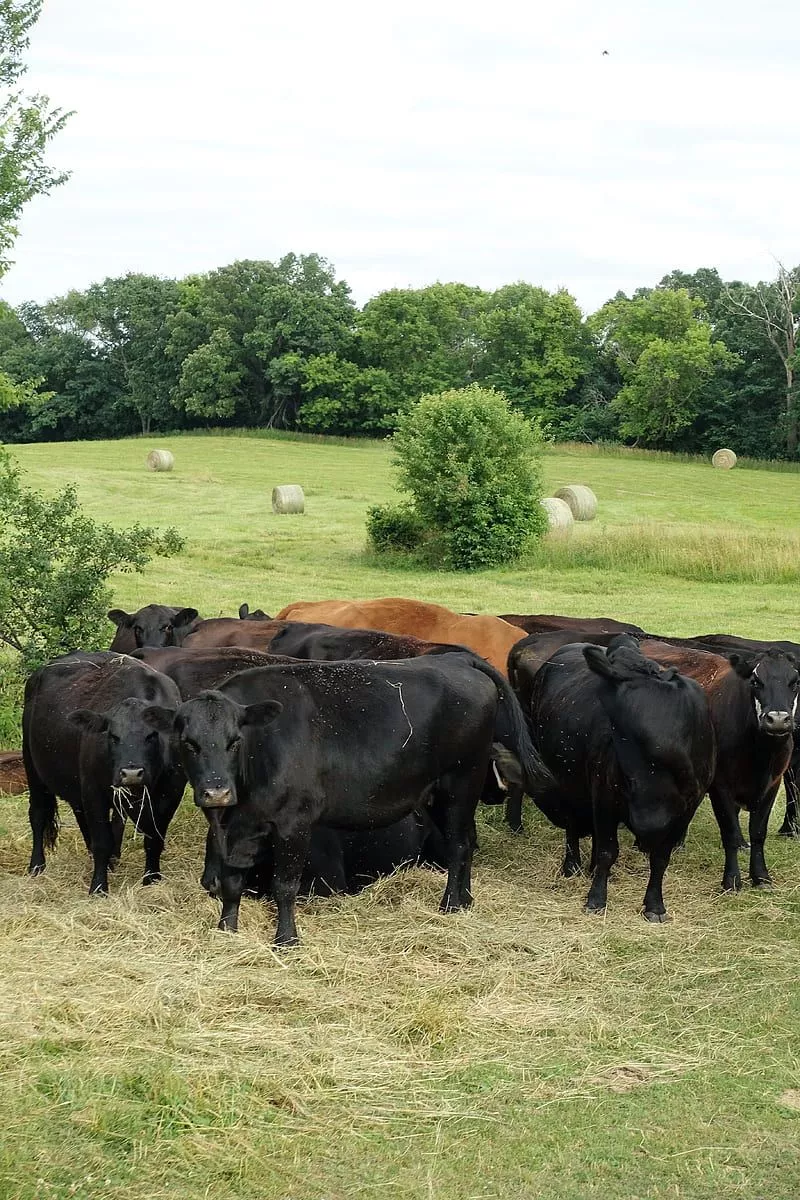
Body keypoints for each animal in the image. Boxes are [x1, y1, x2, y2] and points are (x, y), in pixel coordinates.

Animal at [23, 652, 185, 895]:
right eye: (113, 736)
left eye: (151, 735)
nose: (131, 773)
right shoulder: (94, 791)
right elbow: (102, 840)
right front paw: (98, 886)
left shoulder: (170, 794)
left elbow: (154, 839)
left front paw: (152, 878)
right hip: (33, 770)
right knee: (38, 814)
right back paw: (37, 865)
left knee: (86, 817)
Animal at [159, 653, 553, 945]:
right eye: (188, 743)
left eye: (235, 741)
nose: (217, 791)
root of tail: (457, 659)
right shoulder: (238, 829)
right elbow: (231, 882)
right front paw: (226, 929)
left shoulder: (294, 824)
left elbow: (283, 886)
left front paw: (286, 940)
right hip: (447, 795)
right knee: (467, 841)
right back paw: (467, 900)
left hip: (459, 784)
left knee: (458, 847)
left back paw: (451, 905)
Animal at [504, 635, 714, 920]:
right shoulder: (605, 795)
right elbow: (607, 851)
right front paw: (596, 898)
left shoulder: (687, 806)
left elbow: (661, 858)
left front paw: (655, 905)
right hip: (571, 783)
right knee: (572, 825)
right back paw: (572, 866)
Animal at [510, 630, 800, 893]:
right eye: (755, 681)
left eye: (795, 682)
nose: (777, 719)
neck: (759, 752)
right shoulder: (721, 788)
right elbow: (729, 833)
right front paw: (732, 880)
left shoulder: (772, 784)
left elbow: (758, 833)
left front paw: (761, 877)